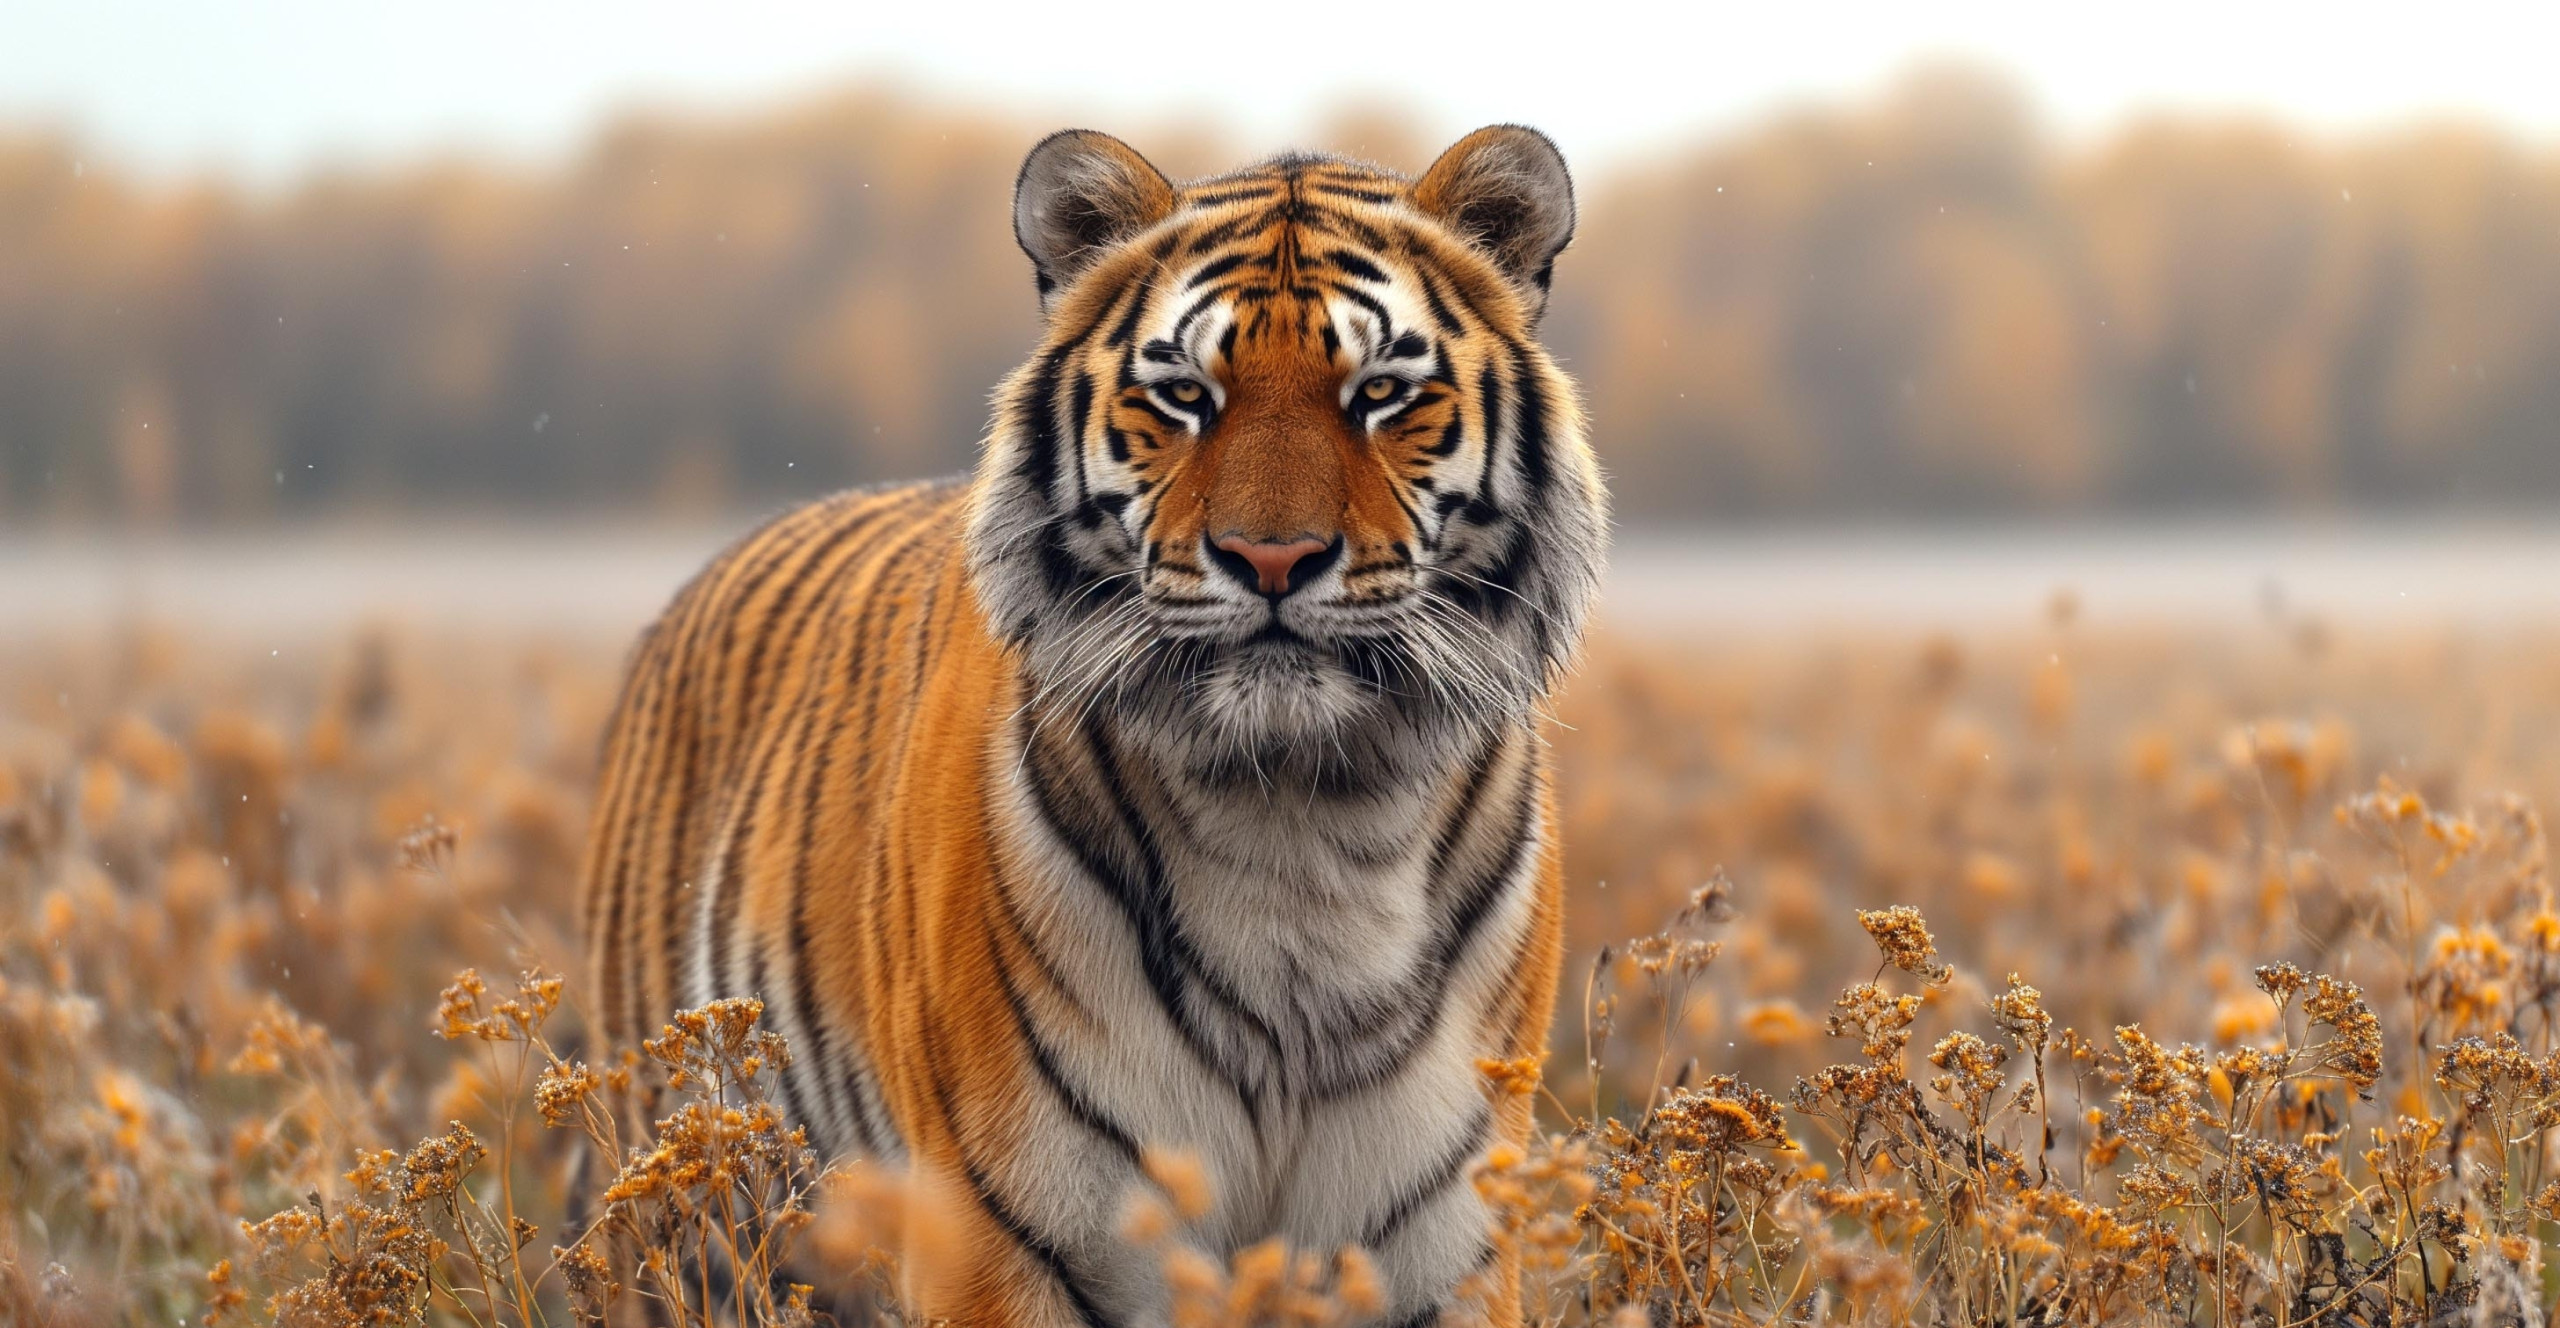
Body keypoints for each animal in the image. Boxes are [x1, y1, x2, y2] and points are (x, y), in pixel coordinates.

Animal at [579, 123, 1608, 1327]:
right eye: (1186, 395)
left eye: (1383, 393)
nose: (1270, 558)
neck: (1303, 826)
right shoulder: (998, 1225)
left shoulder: (1444, 1242)